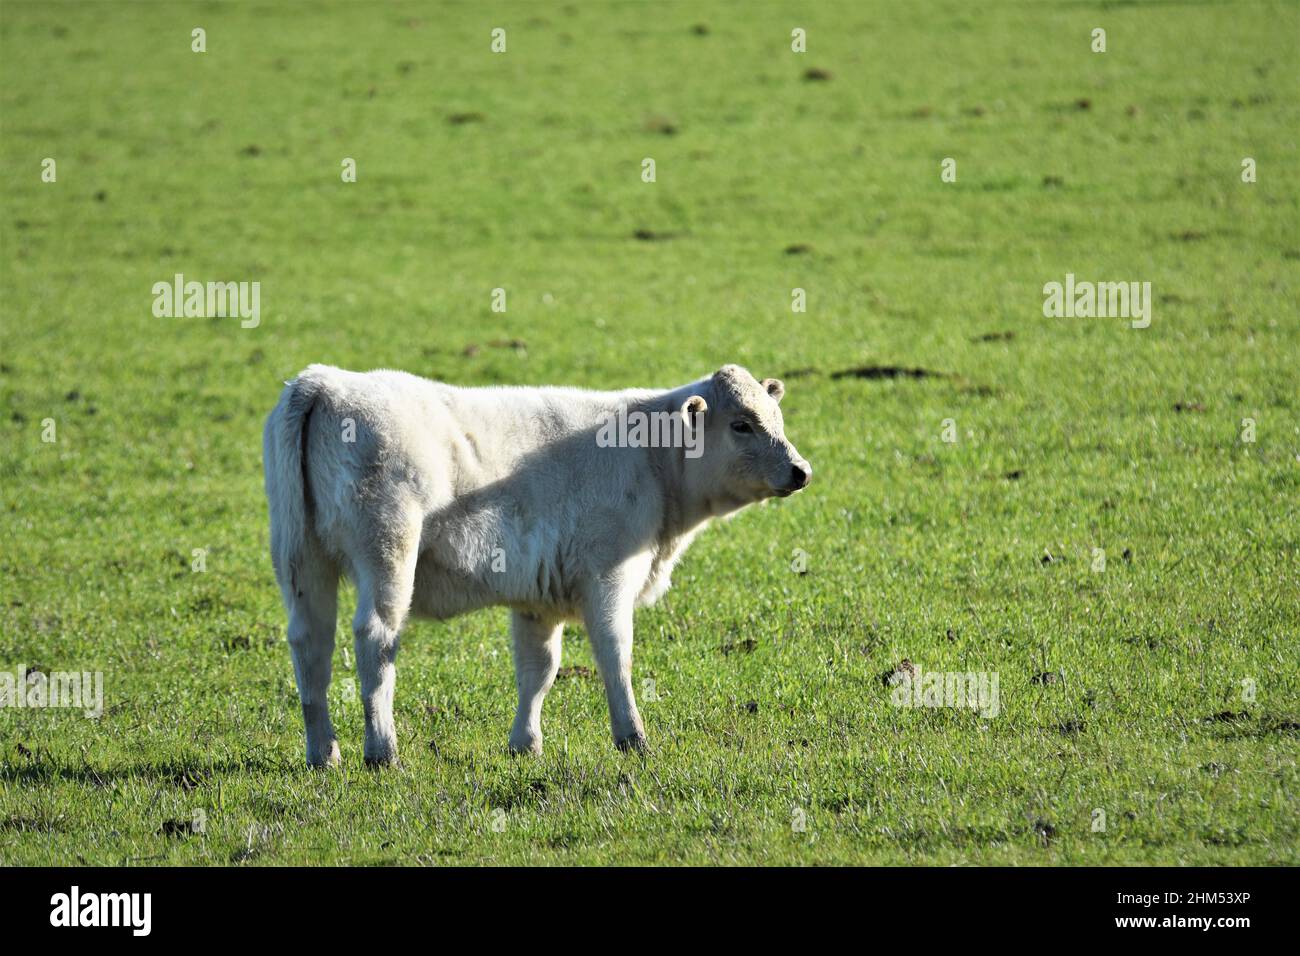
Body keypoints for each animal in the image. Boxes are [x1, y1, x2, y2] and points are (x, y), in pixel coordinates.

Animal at [262, 363, 811, 766]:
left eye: (777, 418)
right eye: (741, 423)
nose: (801, 471)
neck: (653, 459)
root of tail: (326, 380)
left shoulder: (538, 598)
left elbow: (538, 670)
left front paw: (525, 744)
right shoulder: (608, 575)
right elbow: (615, 655)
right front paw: (633, 738)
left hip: (299, 558)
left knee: (311, 645)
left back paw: (324, 754)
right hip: (388, 549)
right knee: (375, 639)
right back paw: (383, 752)